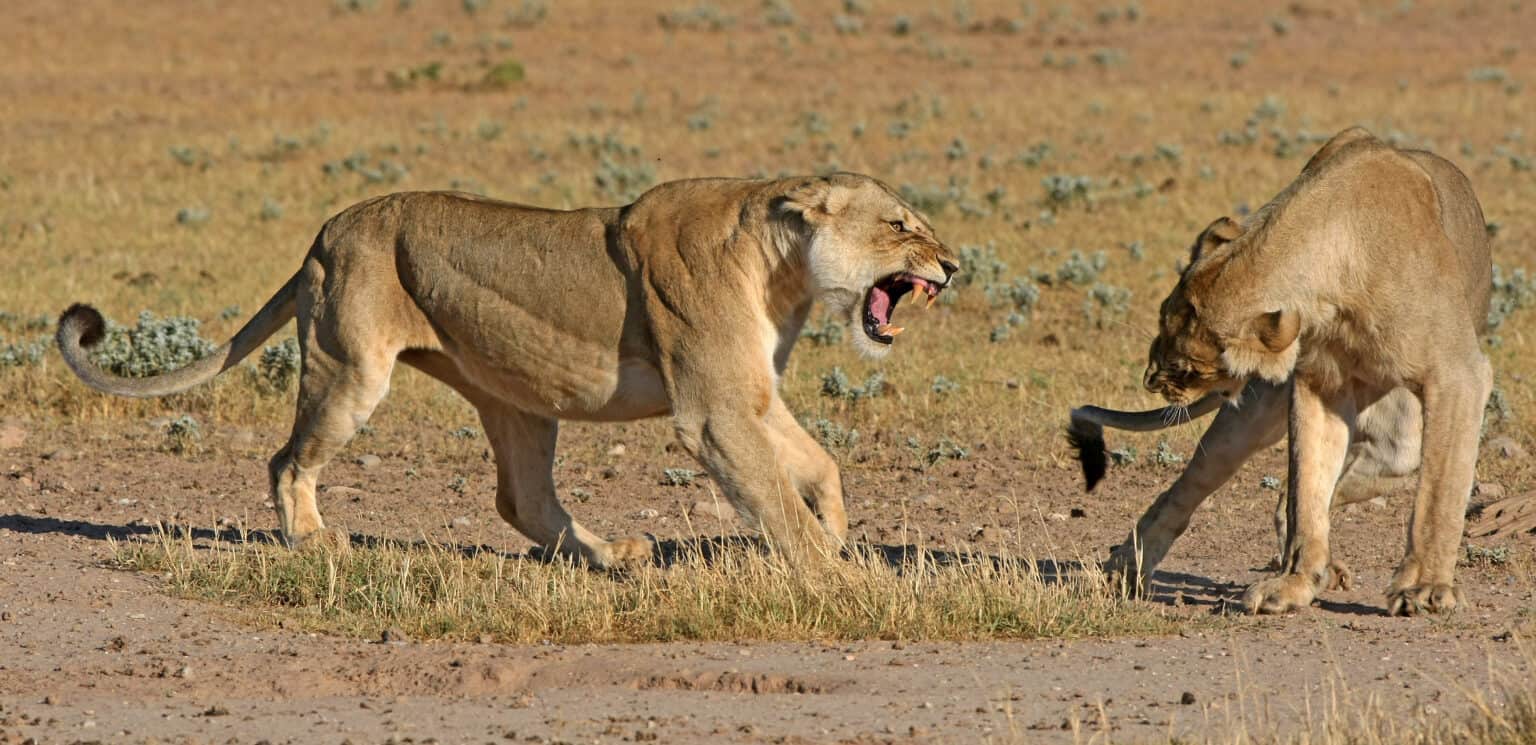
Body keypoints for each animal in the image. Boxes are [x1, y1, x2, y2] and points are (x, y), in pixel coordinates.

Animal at [57, 173, 959, 567]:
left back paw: (611, 555)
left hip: (519, 400)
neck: (783, 270)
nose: (951, 265)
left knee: (522, 499)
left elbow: (818, 464)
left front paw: (835, 533)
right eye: (902, 224)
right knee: (286, 459)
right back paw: (312, 539)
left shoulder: (753, 396)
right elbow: (774, 494)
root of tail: (324, 230)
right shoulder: (715, 410)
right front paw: (836, 574)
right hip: (350, 370)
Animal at [1067, 127, 1491, 616]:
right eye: (1159, 319)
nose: (1151, 381)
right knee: (1187, 491)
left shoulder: (1456, 375)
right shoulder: (1319, 385)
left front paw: (1423, 588)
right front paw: (1293, 584)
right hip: (1250, 416)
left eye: (1188, 368)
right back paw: (1121, 572)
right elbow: (1307, 489)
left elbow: (1437, 495)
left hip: (1397, 443)